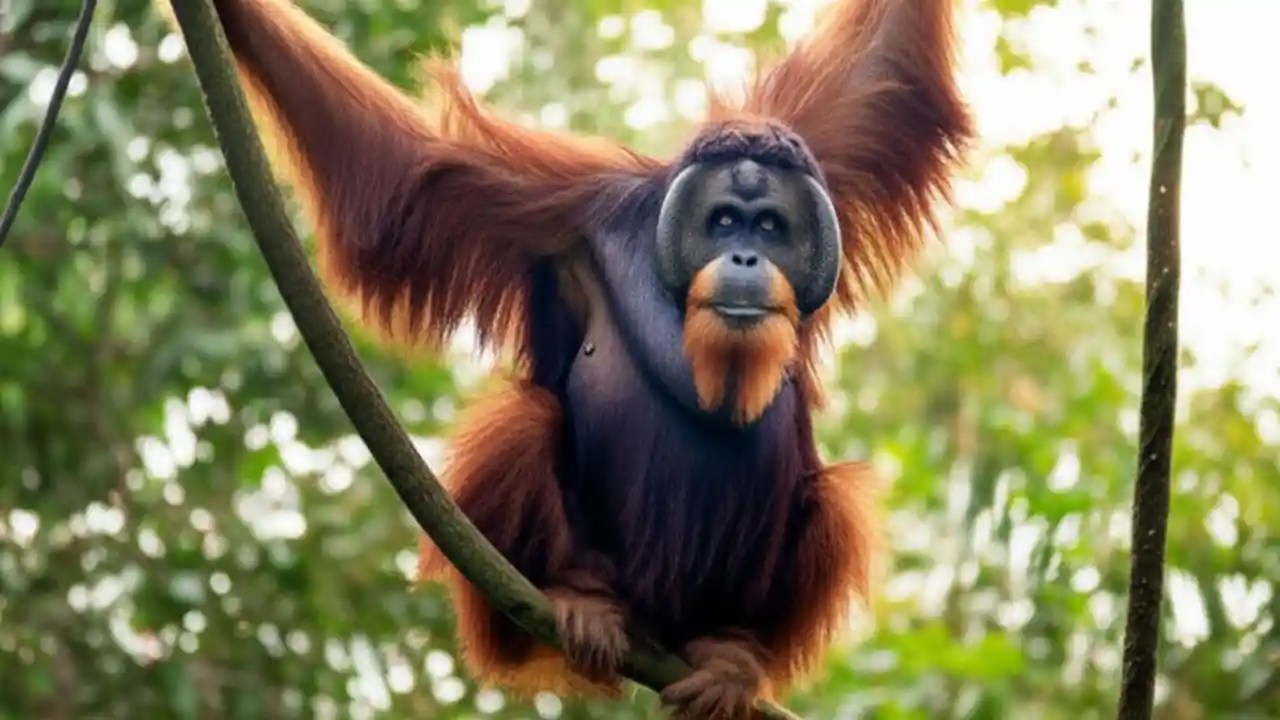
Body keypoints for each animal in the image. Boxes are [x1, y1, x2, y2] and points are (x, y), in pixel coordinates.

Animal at [191, 0, 972, 717]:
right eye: (724, 221)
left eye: (771, 227)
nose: (746, 257)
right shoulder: (566, 202)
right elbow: (412, 177)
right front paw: (226, 14)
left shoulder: (823, 157)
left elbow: (886, 60)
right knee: (525, 417)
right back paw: (578, 600)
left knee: (833, 497)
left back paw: (734, 655)